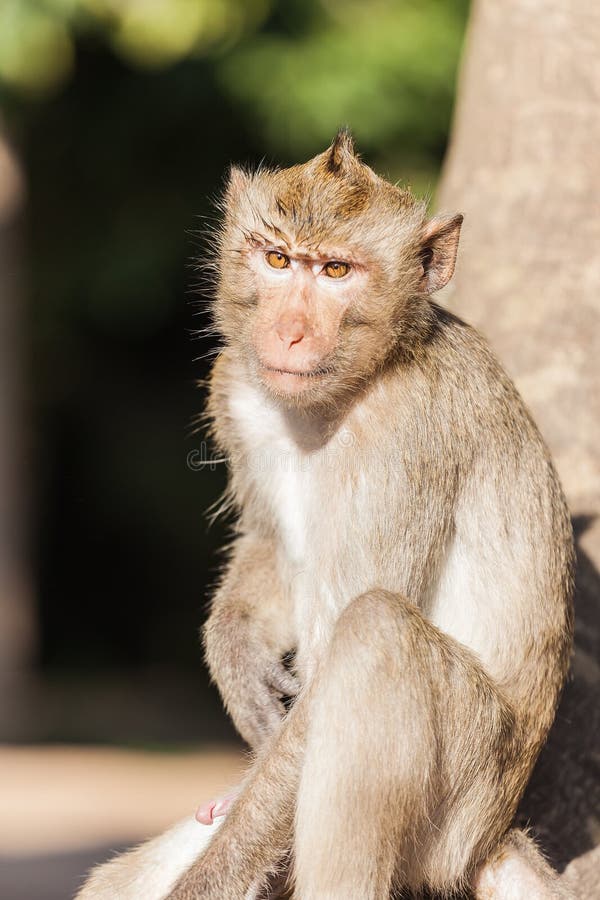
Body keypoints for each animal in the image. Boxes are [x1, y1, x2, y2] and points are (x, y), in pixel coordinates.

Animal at [77, 130, 575, 900]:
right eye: (278, 259)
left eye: (337, 270)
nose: (285, 331)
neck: (344, 391)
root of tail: (493, 838)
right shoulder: (235, 382)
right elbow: (266, 537)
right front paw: (237, 651)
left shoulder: (402, 431)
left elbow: (338, 659)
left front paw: (207, 884)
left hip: (460, 806)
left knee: (374, 631)